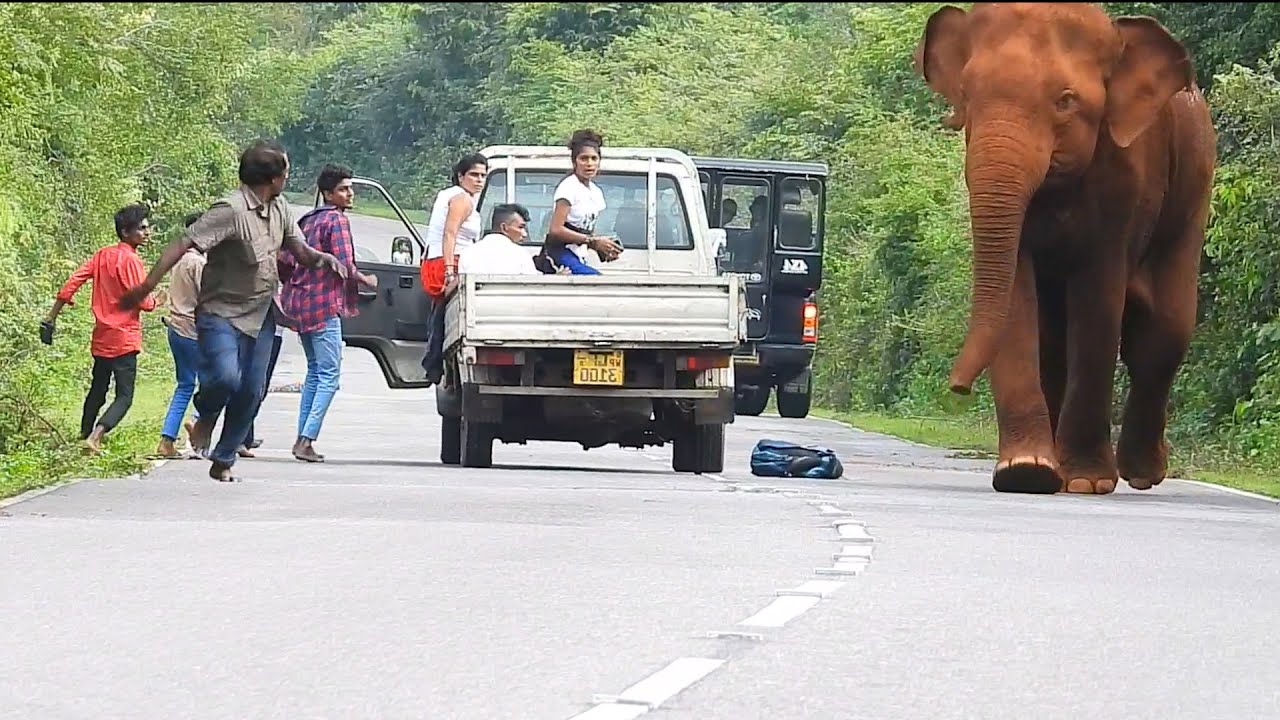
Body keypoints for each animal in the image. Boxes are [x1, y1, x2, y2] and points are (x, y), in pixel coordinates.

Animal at [911, 3, 1217, 495]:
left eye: (1066, 101)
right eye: (967, 95)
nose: (956, 389)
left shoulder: (1126, 181)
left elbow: (1097, 307)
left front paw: (1087, 483)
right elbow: (1018, 299)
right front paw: (1025, 473)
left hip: (1193, 190)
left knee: (1165, 329)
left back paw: (1141, 474)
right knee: (1057, 338)